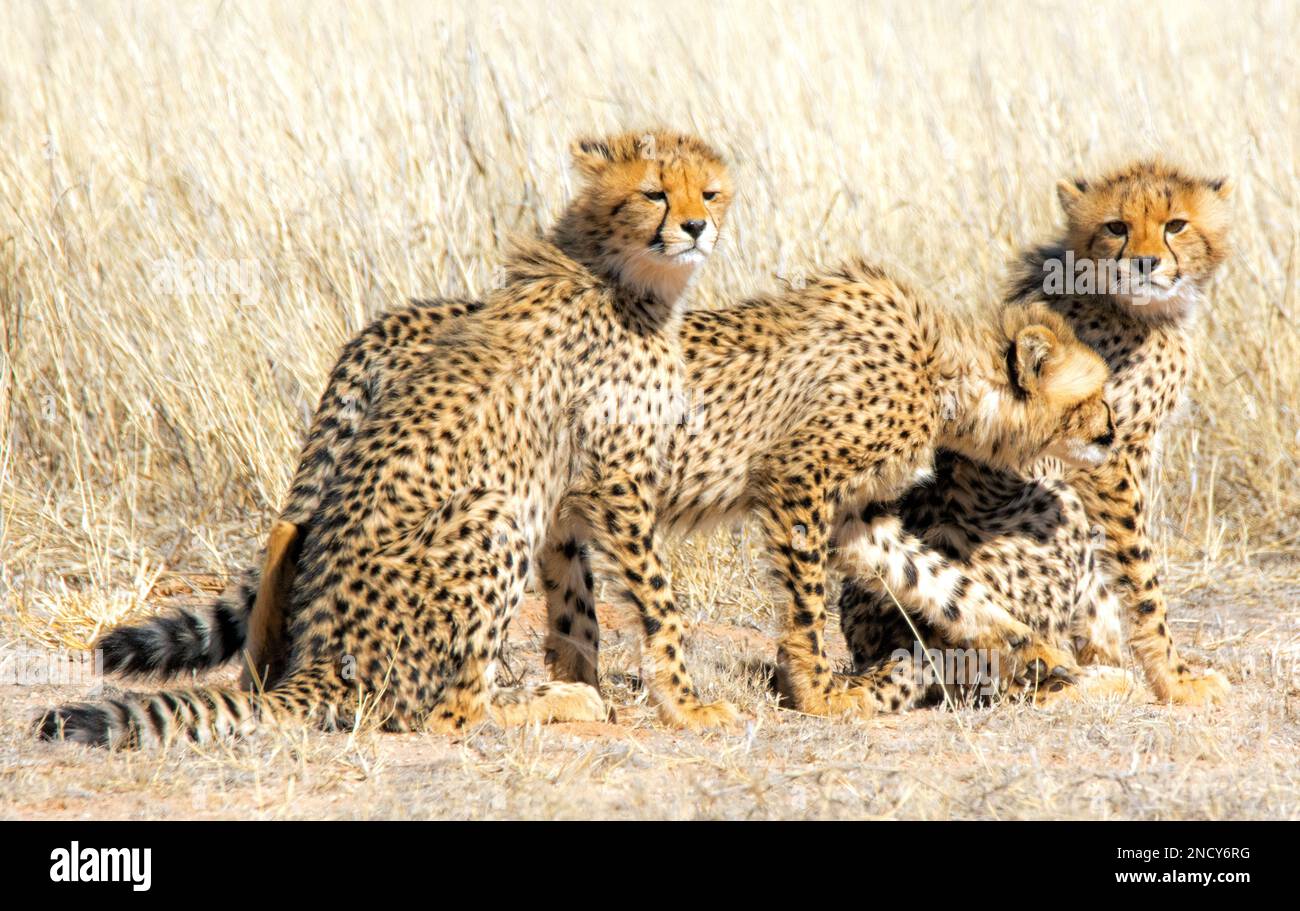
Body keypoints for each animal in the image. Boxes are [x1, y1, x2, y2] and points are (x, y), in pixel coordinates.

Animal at [36, 129, 739, 748]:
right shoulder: (614, 483)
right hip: (490, 516)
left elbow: (575, 608)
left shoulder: (563, 499)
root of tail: (328, 658)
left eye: (709, 193)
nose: (696, 228)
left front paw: (594, 676)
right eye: (653, 193)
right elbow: (658, 601)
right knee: (449, 714)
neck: (619, 271)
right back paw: (553, 703)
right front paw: (688, 705)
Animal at [838, 159, 1234, 708]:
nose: (1145, 264)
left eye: (1176, 224)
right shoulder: (1107, 459)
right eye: (1117, 227)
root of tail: (894, 645)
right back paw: (1094, 680)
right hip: (1056, 505)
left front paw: (1123, 659)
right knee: (1012, 679)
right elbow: (1140, 576)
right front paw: (1176, 679)